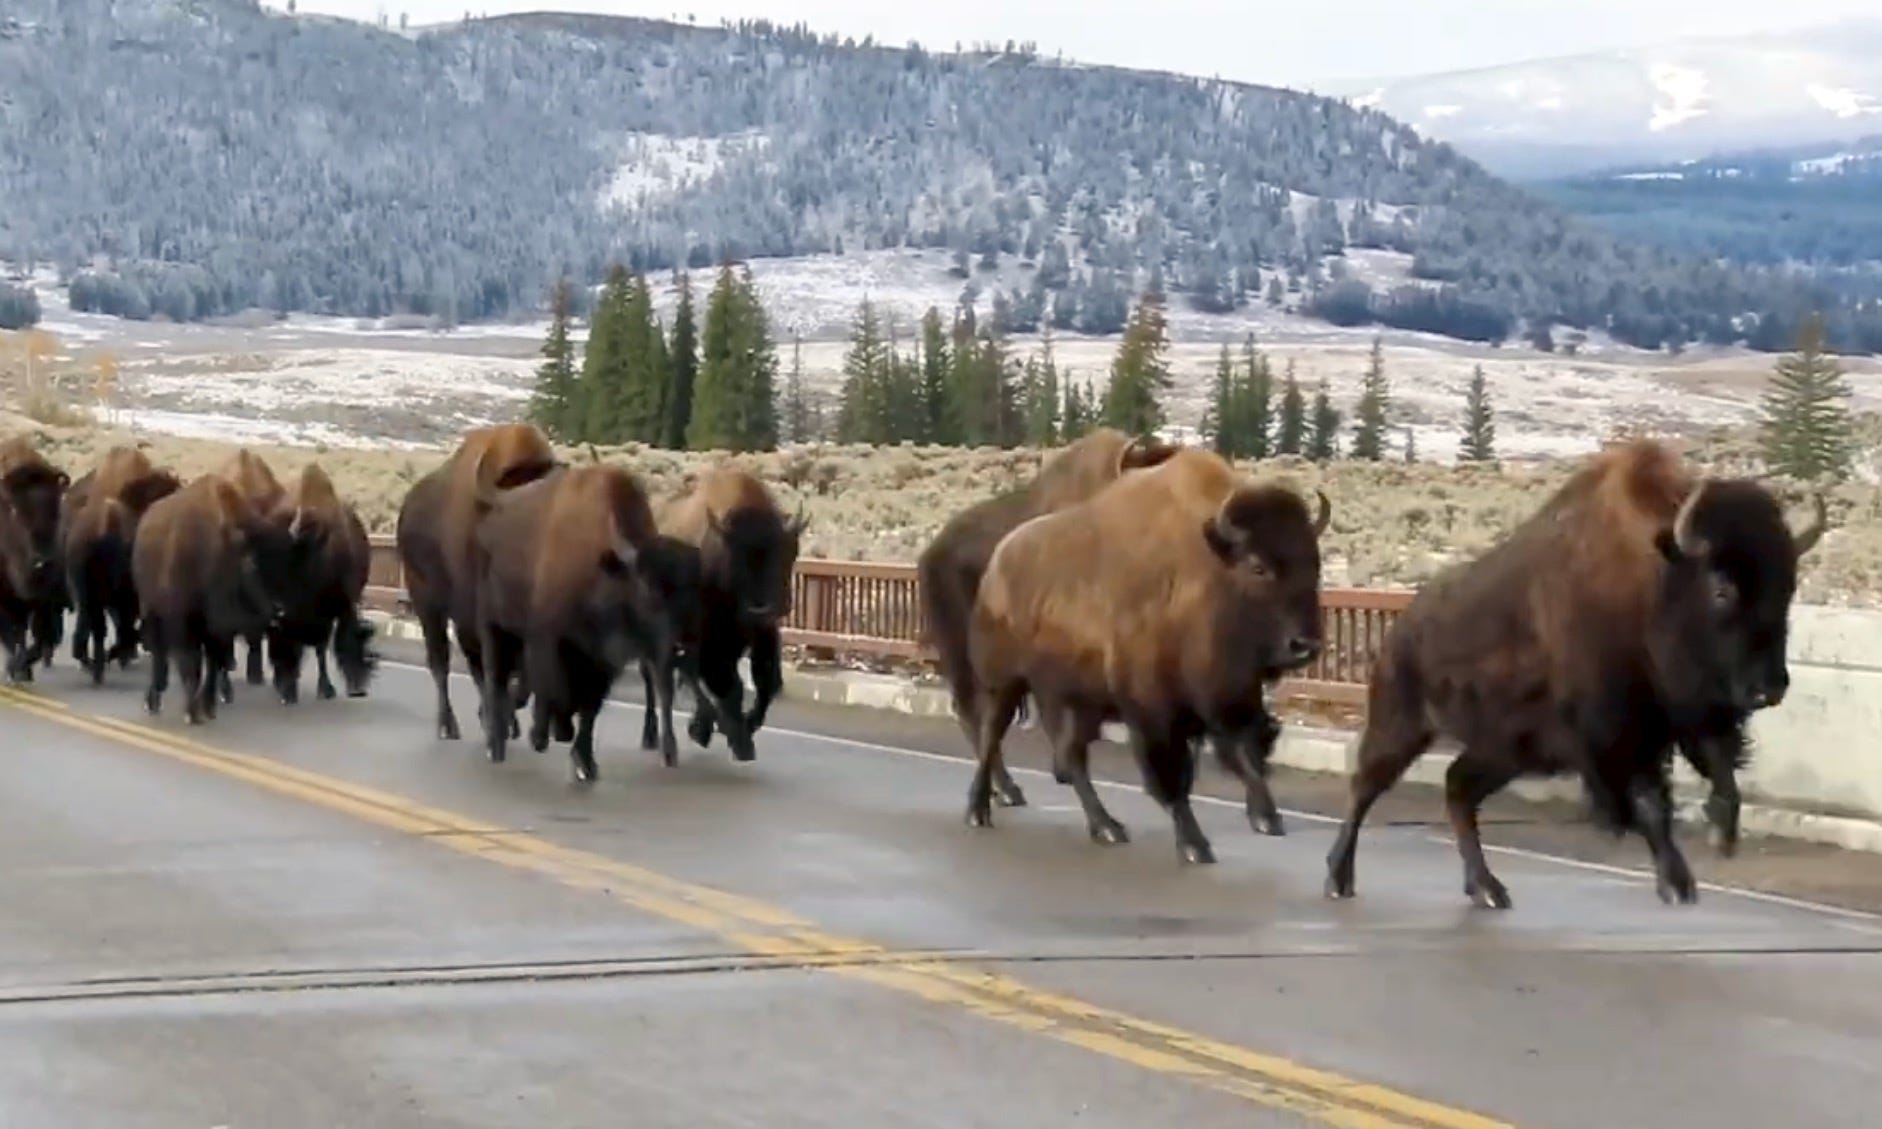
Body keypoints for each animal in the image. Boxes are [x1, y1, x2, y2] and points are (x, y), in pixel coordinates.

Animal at [131, 475, 284, 724]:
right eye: (251, 565)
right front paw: (196, 710)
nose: (276, 610)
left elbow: (202, 665)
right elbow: (197, 665)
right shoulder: (192, 626)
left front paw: (200, 707)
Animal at [474, 463, 696, 781]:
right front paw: (544, 735)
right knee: (496, 679)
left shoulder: (599, 663)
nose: (675, 645)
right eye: (647, 592)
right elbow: (551, 688)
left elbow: (589, 709)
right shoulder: (547, 639)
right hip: (493, 626)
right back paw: (497, 742)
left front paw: (585, 763)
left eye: (686, 593)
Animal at [647, 466, 806, 762]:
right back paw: (665, 737)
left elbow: (766, 683)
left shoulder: (762, 634)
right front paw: (736, 738)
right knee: (665, 678)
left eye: (786, 553)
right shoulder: (711, 642)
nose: (761, 608)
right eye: (736, 560)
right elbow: (729, 686)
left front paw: (745, 727)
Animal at [964, 448, 1330, 865]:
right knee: (991, 738)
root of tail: (997, 564)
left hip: (1077, 698)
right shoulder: (1154, 710)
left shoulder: (1230, 698)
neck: (1208, 571)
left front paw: (1267, 818)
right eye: (1258, 566)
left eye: (1316, 565)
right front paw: (1195, 846)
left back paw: (1106, 828)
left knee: (1072, 758)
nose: (1305, 644)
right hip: (1005, 683)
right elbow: (1172, 778)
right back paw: (979, 811)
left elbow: (1244, 754)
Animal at [1323, 439, 1823, 909]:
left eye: (1788, 587)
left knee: (1458, 787)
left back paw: (1487, 889)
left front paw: (1721, 838)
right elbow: (1650, 804)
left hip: (1505, 752)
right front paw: (1678, 884)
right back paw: (1339, 879)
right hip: (1403, 726)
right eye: (1721, 589)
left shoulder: (1691, 721)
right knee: (1366, 786)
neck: (1653, 585)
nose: (1769, 687)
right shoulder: (1617, 737)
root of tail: (1402, 626)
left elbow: (1723, 782)